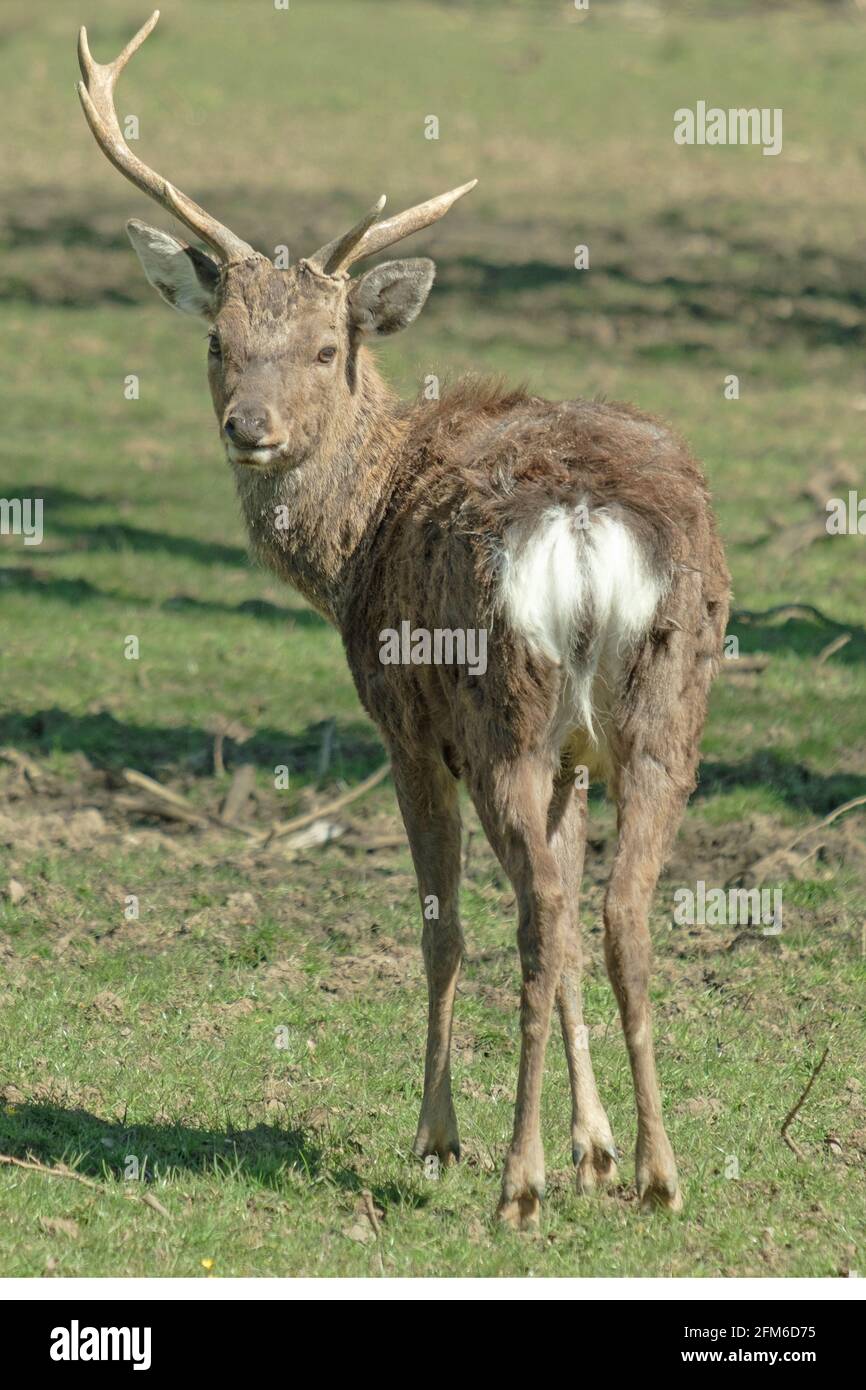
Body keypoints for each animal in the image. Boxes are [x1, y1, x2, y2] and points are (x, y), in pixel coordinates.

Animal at [78, 11, 730, 1230]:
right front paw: (595, 1148)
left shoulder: (403, 721)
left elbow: (441, 927)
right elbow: (574, 929)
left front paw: (440, 1138)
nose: (250, 426)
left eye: (329, 348)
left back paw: (516, 1182)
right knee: (616, 912)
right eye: (216, 342)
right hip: (665, 710)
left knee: (533, 919)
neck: (355, 536)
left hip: (501, 708)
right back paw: (660, 1173)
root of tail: (585, 527)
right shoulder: (573, 759)